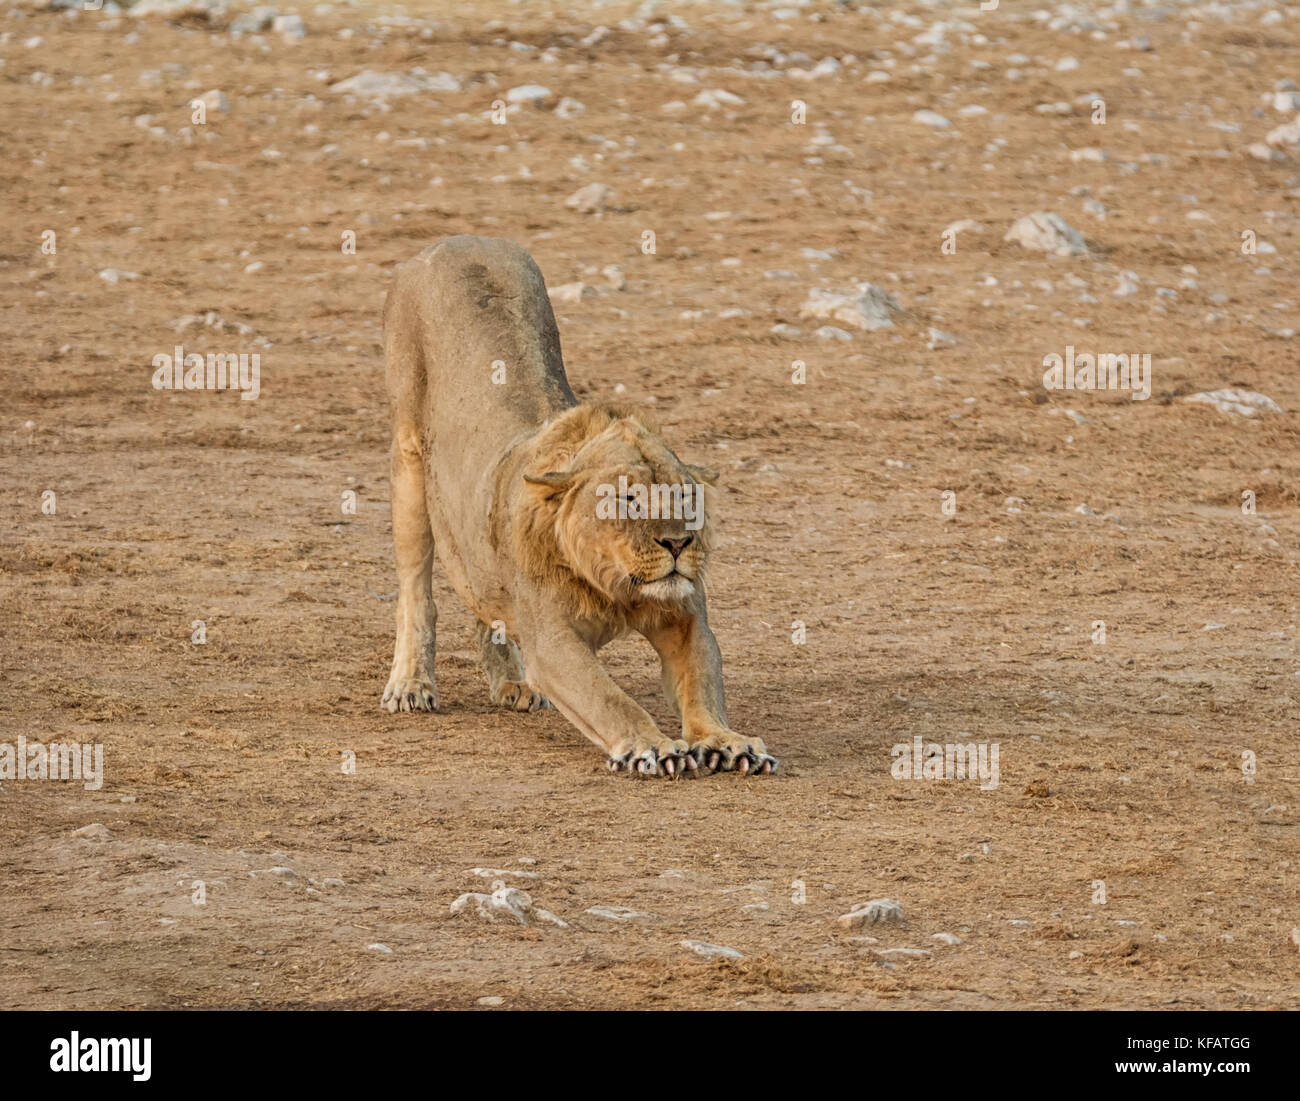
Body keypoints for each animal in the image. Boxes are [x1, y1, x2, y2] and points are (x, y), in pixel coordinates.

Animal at [379, 235, 776, 777]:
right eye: (627, 499)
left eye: (684, 496)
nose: (678, 543)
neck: (615, 589)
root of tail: (457, 239)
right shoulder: (552, 642)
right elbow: (608, 698)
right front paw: (651, 747)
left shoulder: (684, 618)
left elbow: (703, 684)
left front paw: (725, 742)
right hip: (409, 465)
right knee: (416, 591)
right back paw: (410, 685)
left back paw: (513, 684)